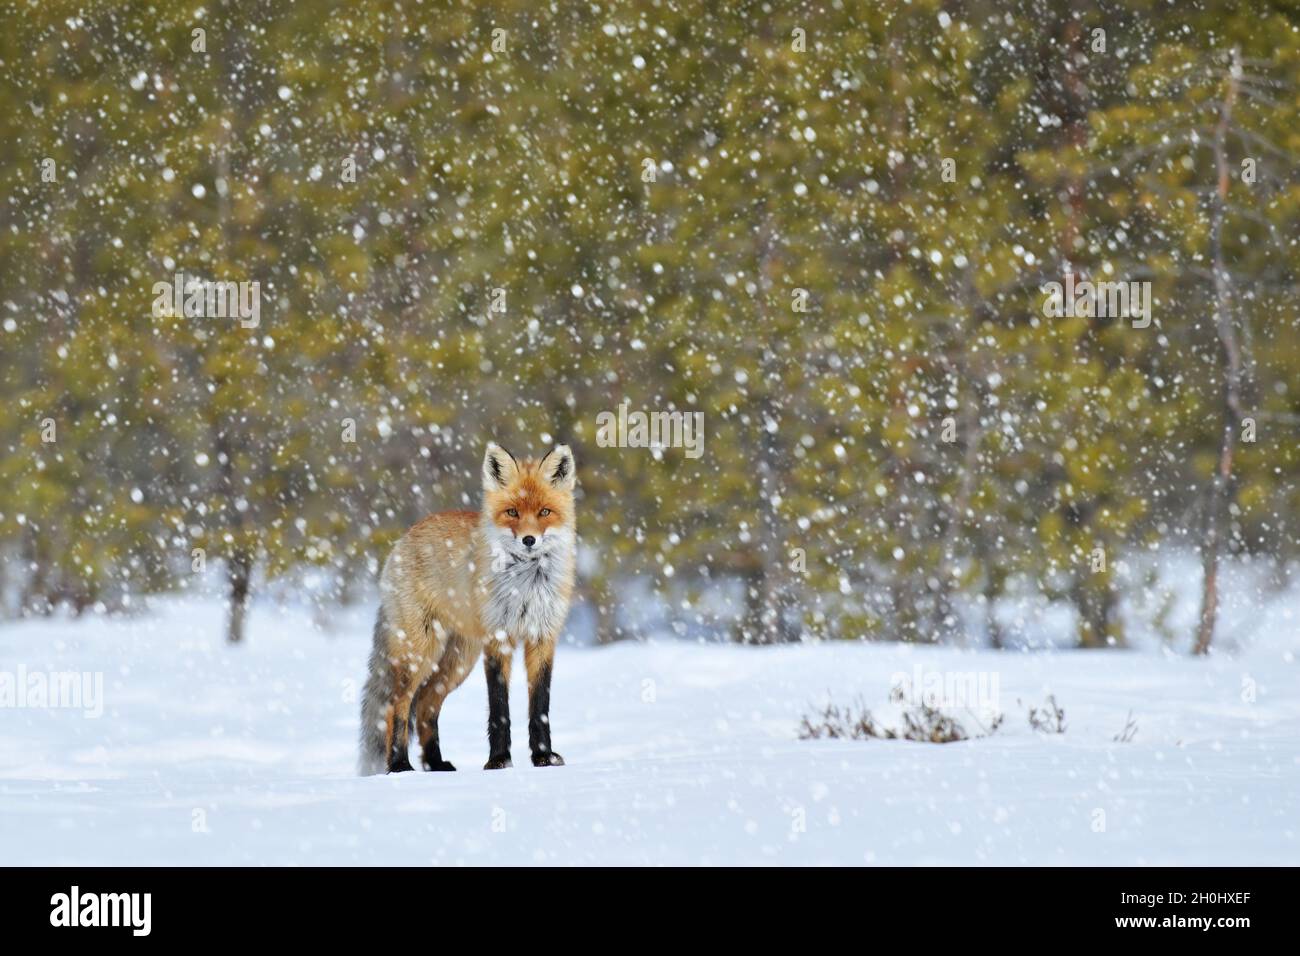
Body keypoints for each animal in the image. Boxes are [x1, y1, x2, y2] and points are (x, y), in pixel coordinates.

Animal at [359, 442, 576, 774]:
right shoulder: (498, 639)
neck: (525, 583)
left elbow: (540, 708)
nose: (529, 540)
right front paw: (498, 760)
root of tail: (401, 541)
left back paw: (435, 764)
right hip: (420, 652)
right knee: (397, 705)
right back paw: (399, 765)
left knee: (425, 705)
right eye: (512, 512)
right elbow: (499, 709)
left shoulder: (542, 637)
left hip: (458, 661)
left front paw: (543, 757)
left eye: (544, 512)